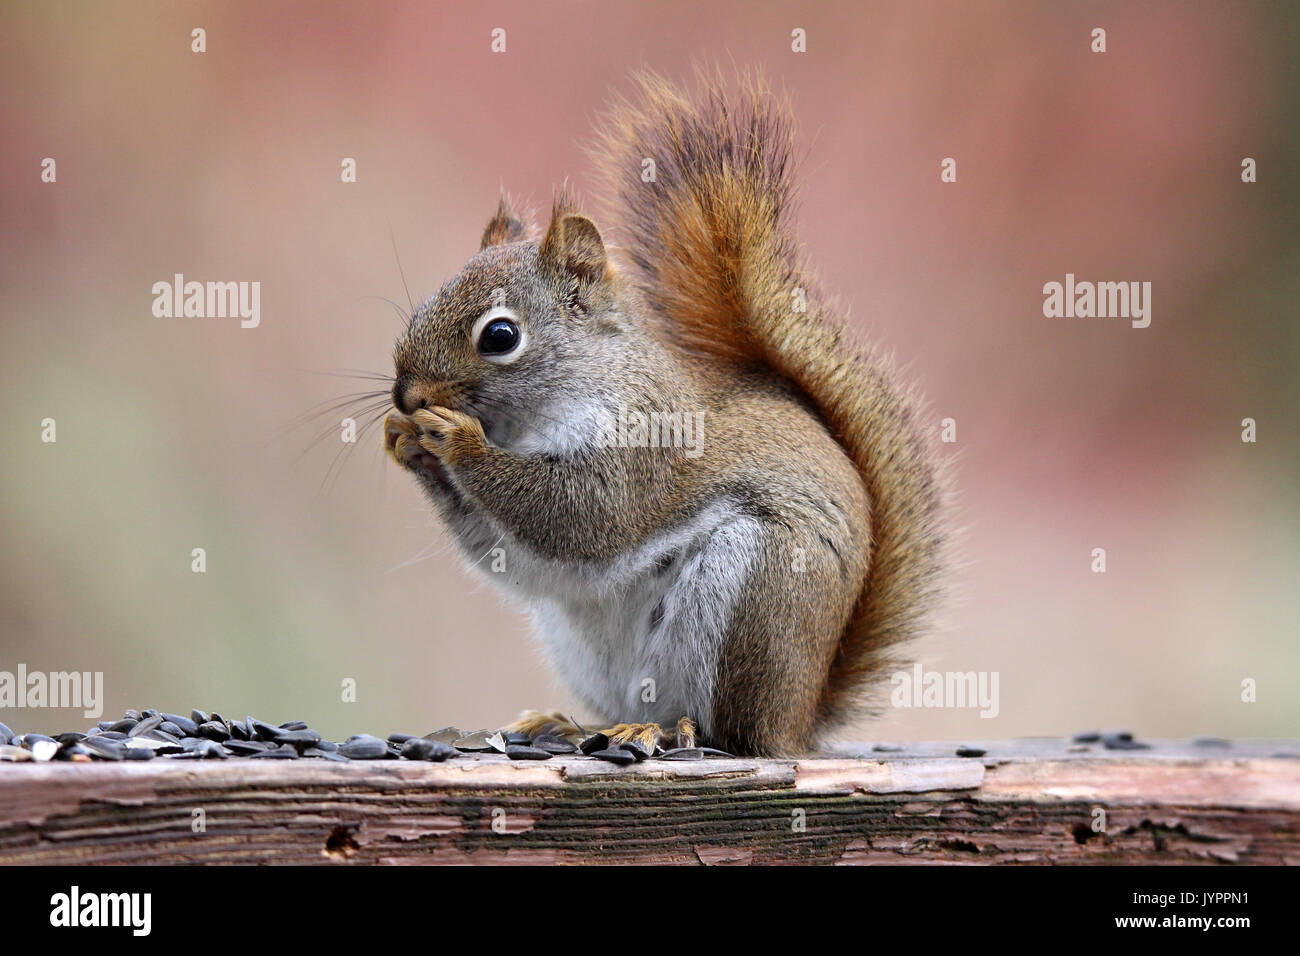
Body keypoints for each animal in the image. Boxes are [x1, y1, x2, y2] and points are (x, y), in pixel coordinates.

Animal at [383, 69, 946, 757]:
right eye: (421, 309)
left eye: (500, 336)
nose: (406, 396)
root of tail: (797, 720)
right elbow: (510, 551)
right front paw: (404, 442)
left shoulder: (647, 440)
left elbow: (580, 515)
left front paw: (456, 440)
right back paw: (576, 725)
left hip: (751, 594)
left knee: (724, 730)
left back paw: (666, 727)